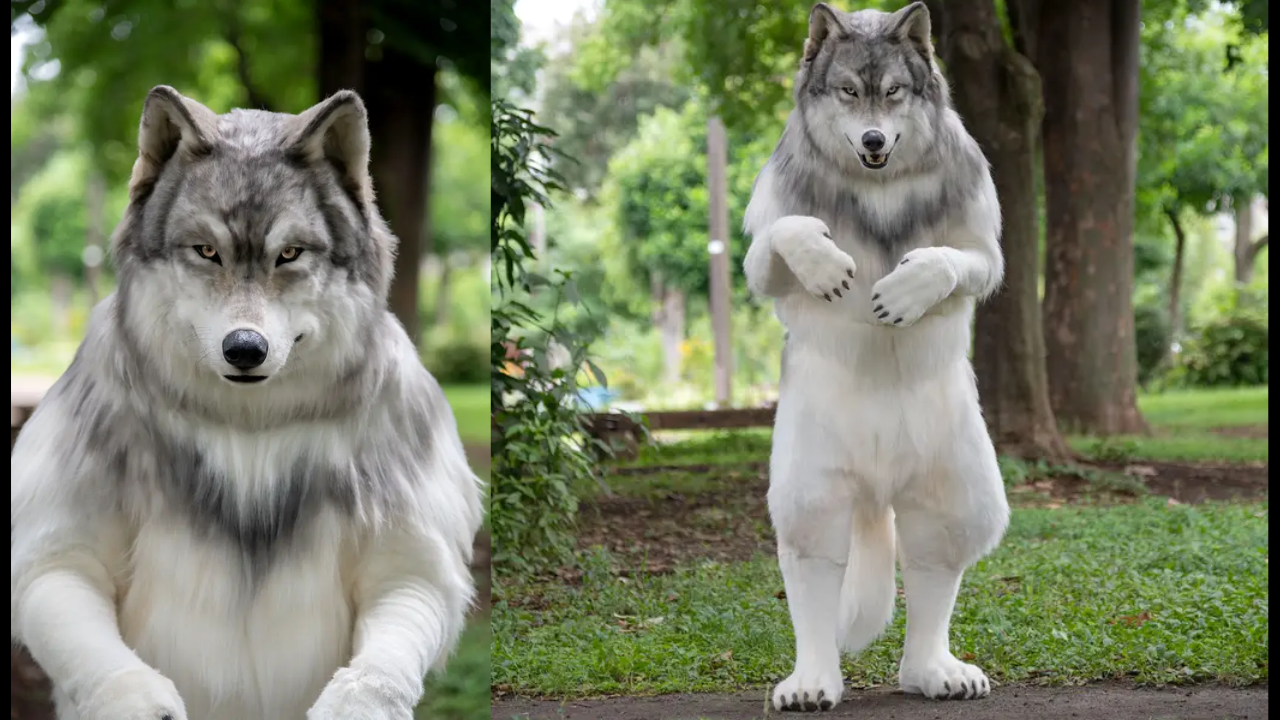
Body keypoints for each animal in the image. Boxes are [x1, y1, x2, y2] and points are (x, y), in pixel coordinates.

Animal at [10, 87, 484, 720]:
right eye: (207, 251)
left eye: (290, 254)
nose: (245, 349)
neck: (250, 431)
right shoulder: (58, 558)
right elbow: (85, 625)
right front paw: (136, 697)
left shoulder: (411, 564)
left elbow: (385, 654)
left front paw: (356, 702)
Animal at [742, 2, 1009, 711]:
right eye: (846, 92)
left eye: (893, 93)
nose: (871, 141)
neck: (878, 185)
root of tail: (879, 480)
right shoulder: (767, 241)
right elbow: (782, 238)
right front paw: (821, 260)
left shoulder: (978, 241)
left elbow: (959, 259)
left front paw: (912, 286)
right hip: (814, 471)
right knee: (813, 555)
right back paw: (813, 681)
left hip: (951, 467)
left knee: (935, 552)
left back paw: (932, 671)